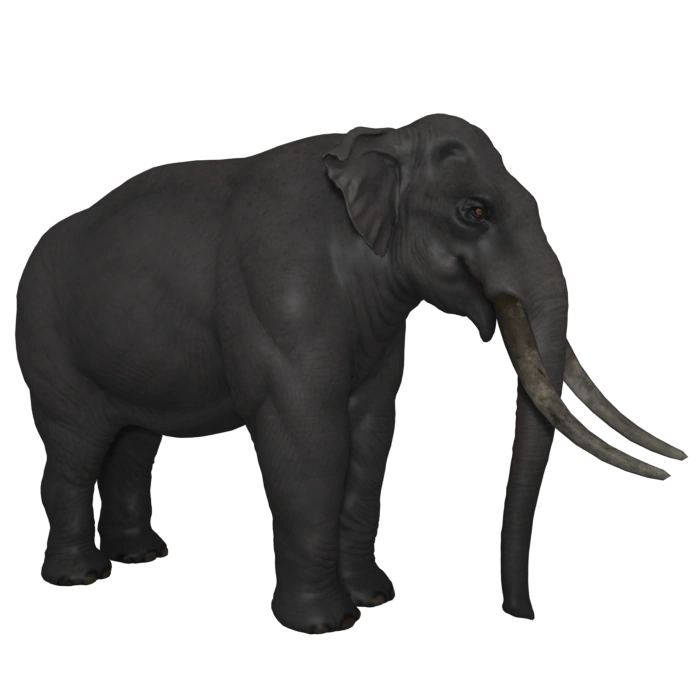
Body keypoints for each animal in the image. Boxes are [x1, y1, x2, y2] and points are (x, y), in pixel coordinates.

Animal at [19, 113, 688, 632]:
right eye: (474, 210)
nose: (517, 615)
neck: (379, 136)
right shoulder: (281, 297)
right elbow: (313, 439)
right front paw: (328, 623)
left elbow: (371, 433)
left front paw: (379, 595)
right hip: (47, 341)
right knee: (77, 446)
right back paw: (84, 576)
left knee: (134, 441)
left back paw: (145, 556)